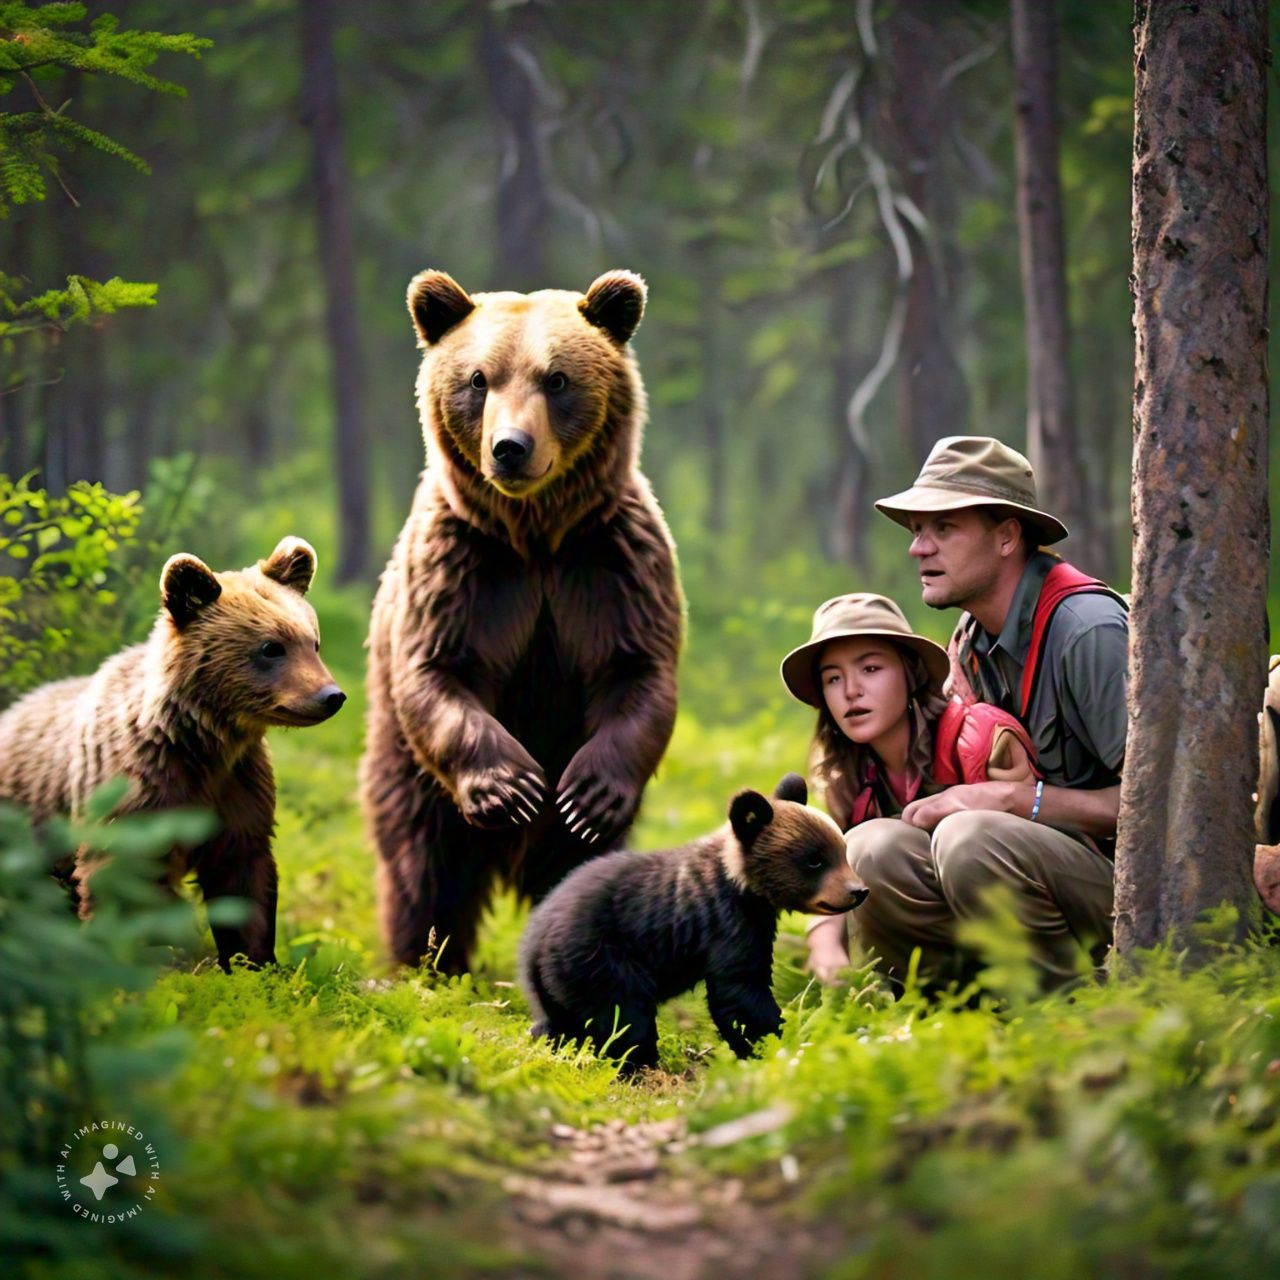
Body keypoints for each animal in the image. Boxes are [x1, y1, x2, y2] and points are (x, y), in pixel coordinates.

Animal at [0, 537, 345, 970]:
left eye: (313, 642)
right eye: (271, 647)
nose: (331, 696)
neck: (202, 742)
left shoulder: (238, 790)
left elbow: (243, 880)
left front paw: (255, 964)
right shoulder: (135, 794)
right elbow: (122, 885)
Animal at [361, 268, 683, 972]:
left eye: (556, 379)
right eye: (478, 378)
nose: (510, 448)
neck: (534, 535)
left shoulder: (608, 566)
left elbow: (638, 673)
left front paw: (588, 795)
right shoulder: (465, 570)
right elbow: (437, 674)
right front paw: (508, 787)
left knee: (574, 867)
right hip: (408, 772)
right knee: (424, 864)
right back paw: (425, 961)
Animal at [517, 773, 867, 1073]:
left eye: (842, 849)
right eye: (815, 859)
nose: (858, 891)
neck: (744, 885)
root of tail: (535, 936)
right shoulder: (726, 923)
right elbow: (739, 992)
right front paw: (778, 1043)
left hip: (553, 979)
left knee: (560, 1018)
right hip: (600, 957)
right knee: (625, 1015)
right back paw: (639, 1065)